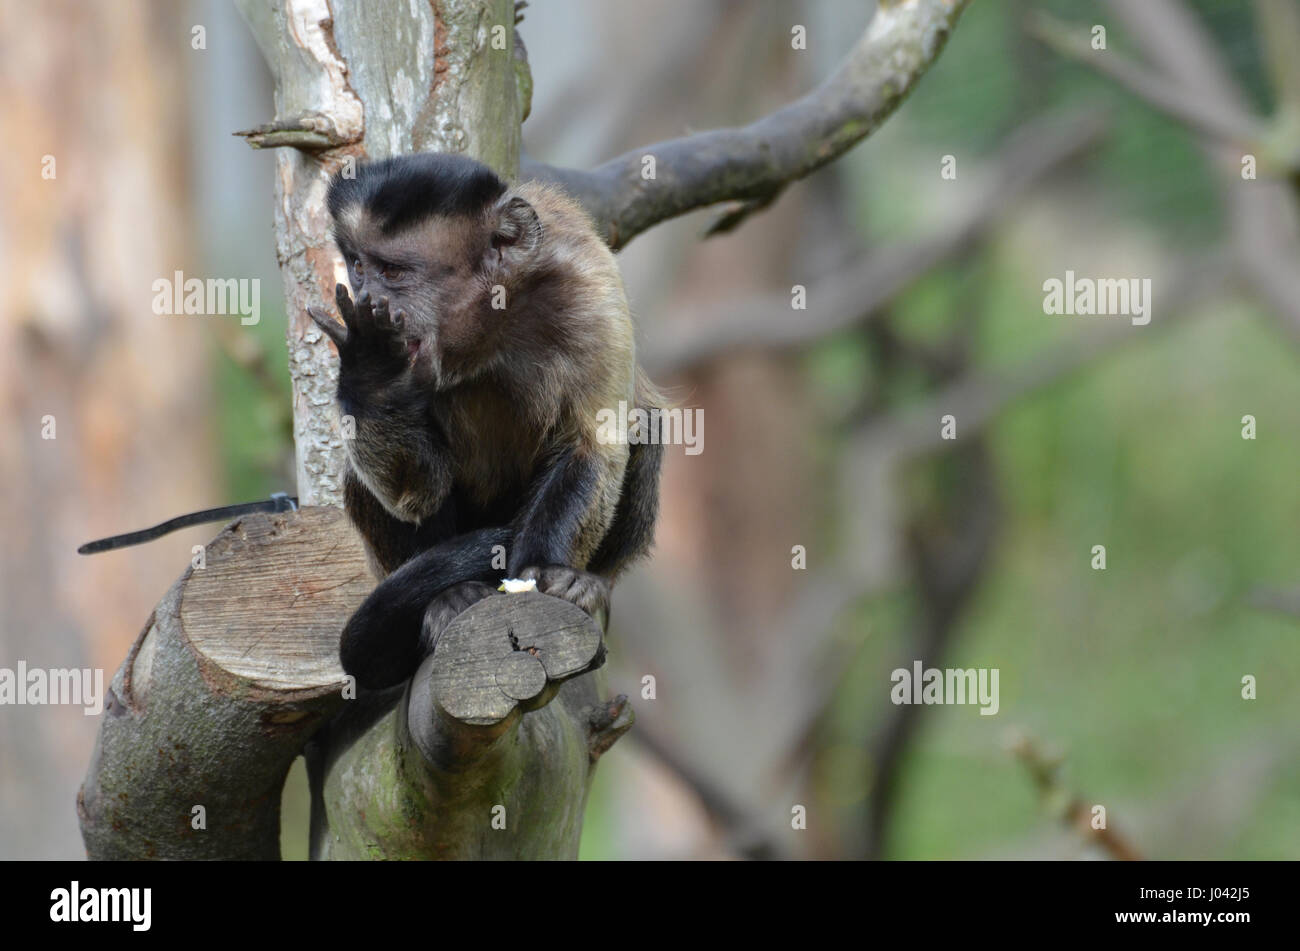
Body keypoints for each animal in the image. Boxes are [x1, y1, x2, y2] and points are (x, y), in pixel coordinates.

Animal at [307, 152, 662, 691]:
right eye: (357, 266)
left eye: (391, 271)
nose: (366, 293)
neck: (488, 328)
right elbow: (417, 491)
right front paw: (372, 371)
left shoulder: (587, 284)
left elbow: (592, 444)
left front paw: (544, 577)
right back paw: (442, 598)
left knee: (646, 422)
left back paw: (593, 583)